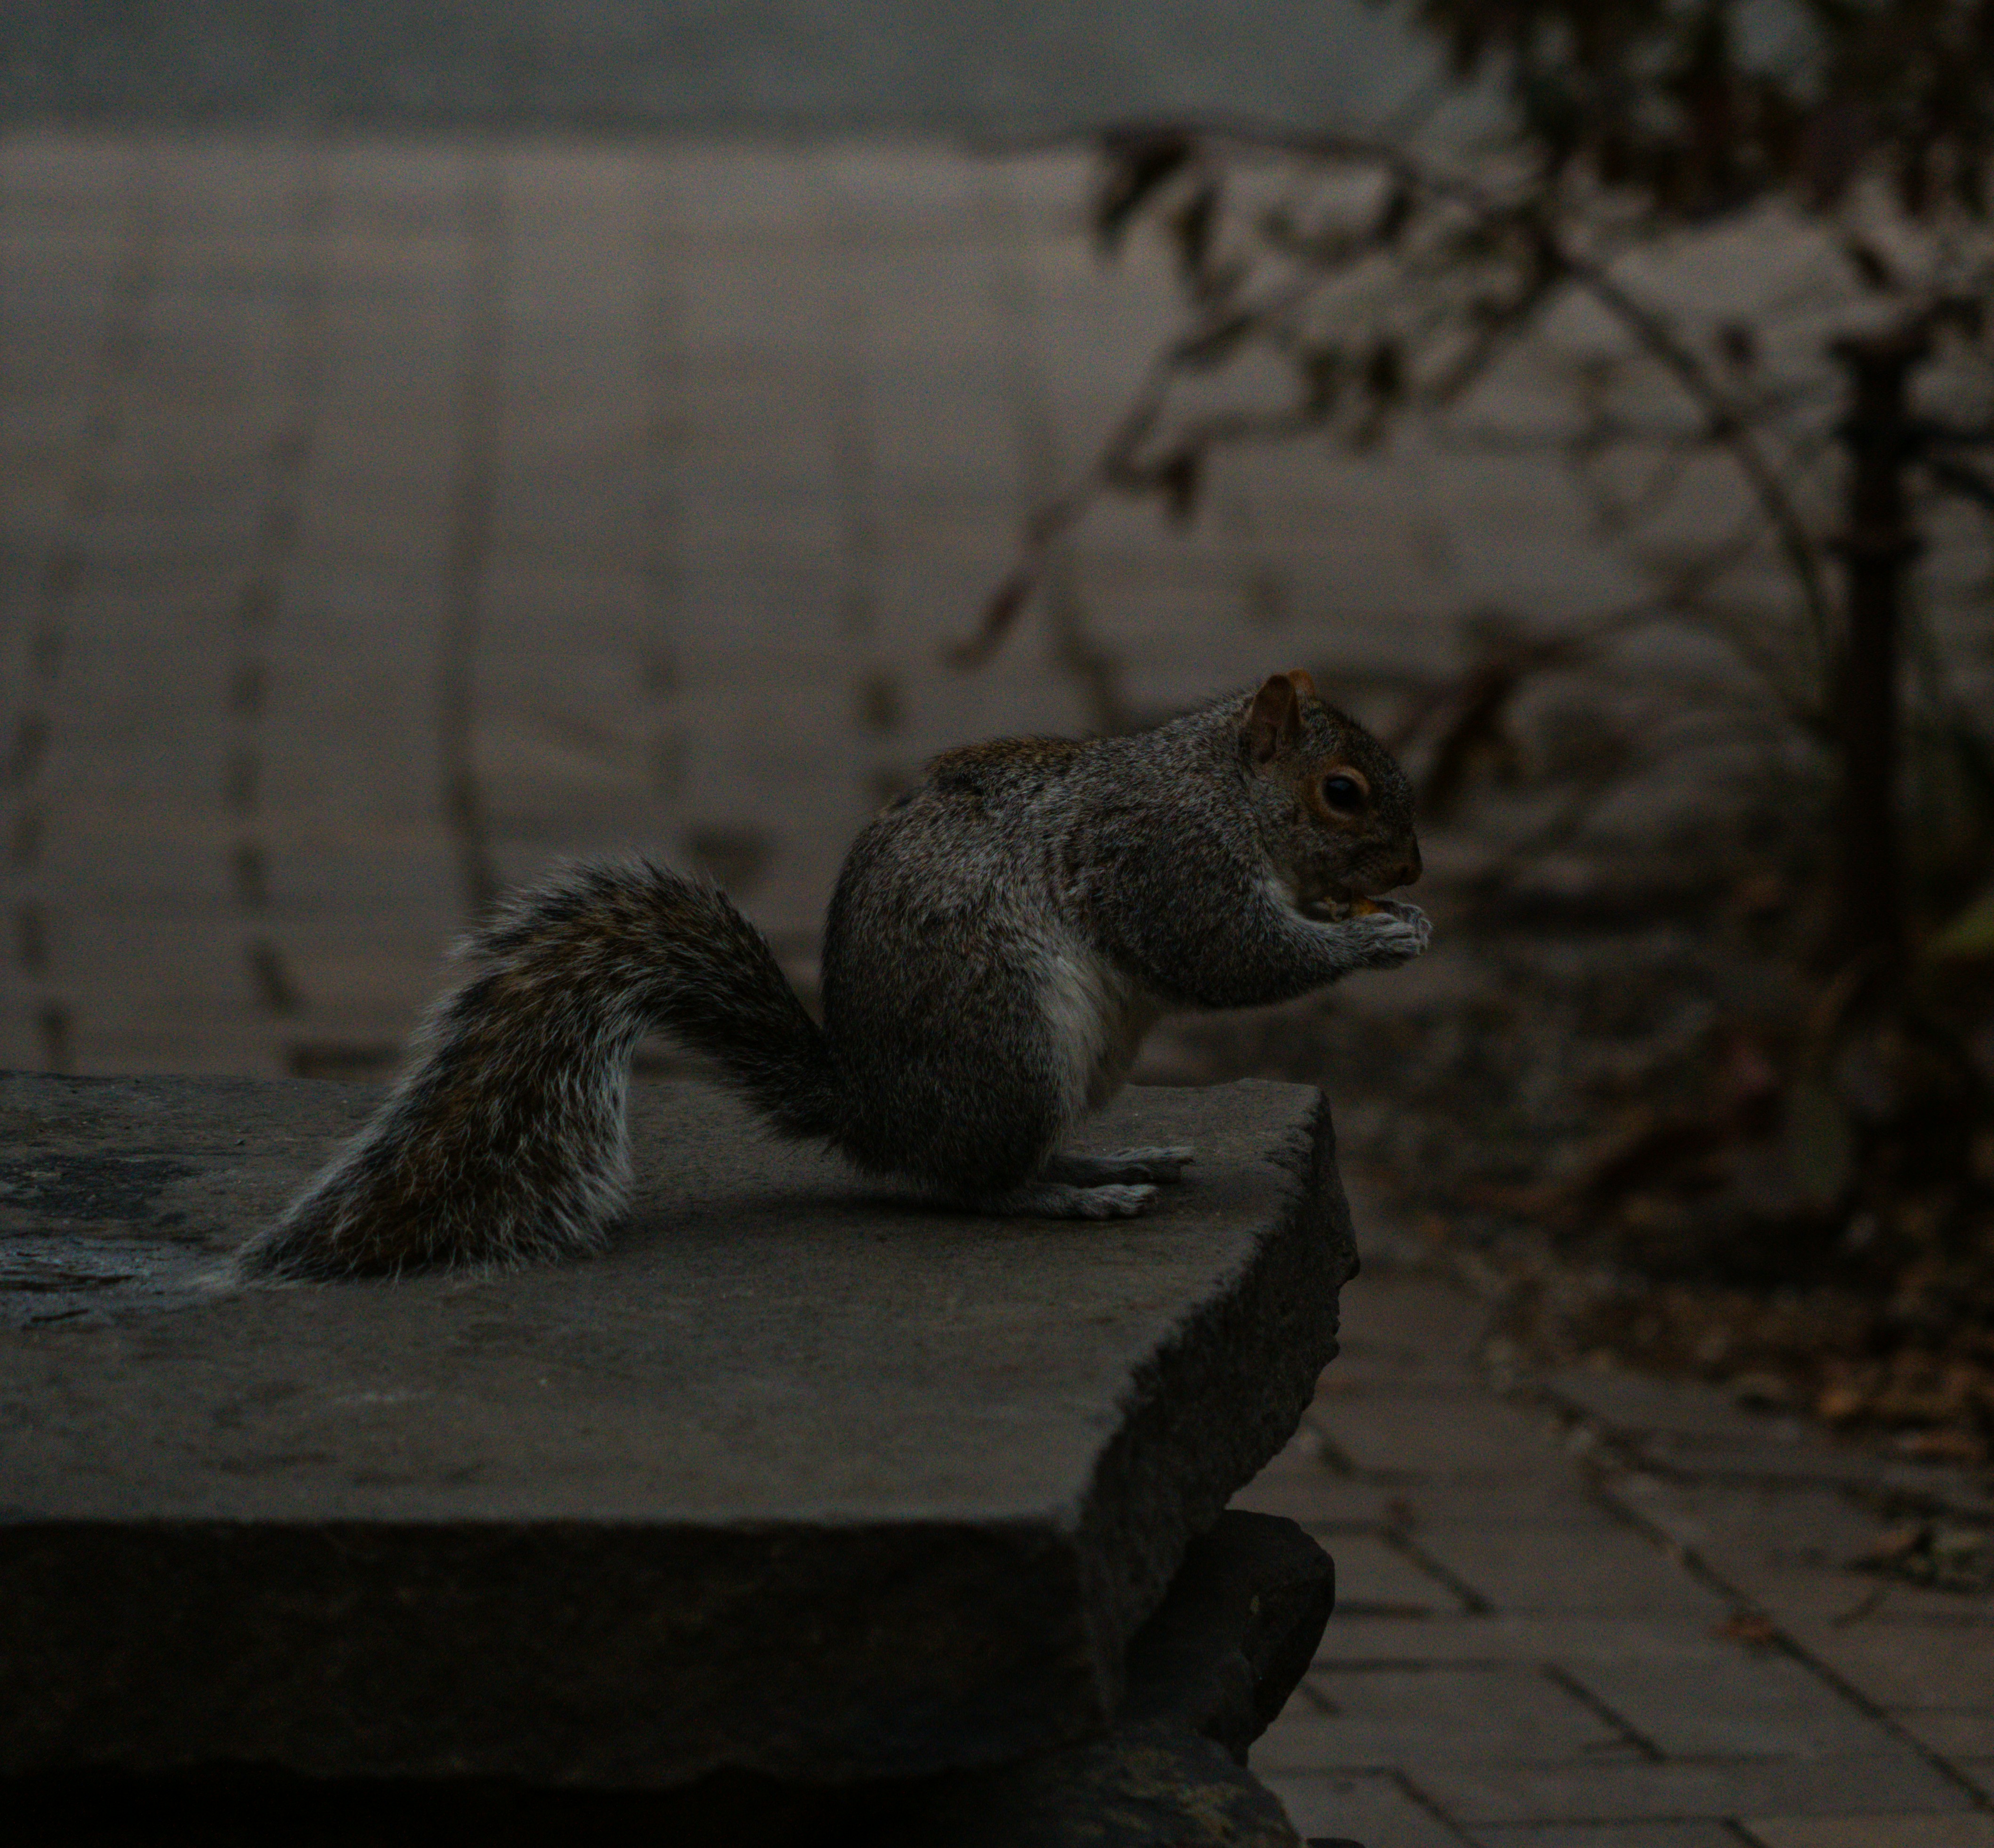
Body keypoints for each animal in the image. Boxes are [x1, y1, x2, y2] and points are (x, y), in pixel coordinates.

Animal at [238, 670, 1427, 1280]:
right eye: (1341, 792)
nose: (1413, 872)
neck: (1215, 791)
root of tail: (875, 1109)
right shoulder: (1165, 862)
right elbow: (1226, 954)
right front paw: (1372, 942)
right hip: (1013, 1044)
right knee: (972, 1185)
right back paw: (1069, 1197)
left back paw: (1107, 1156)